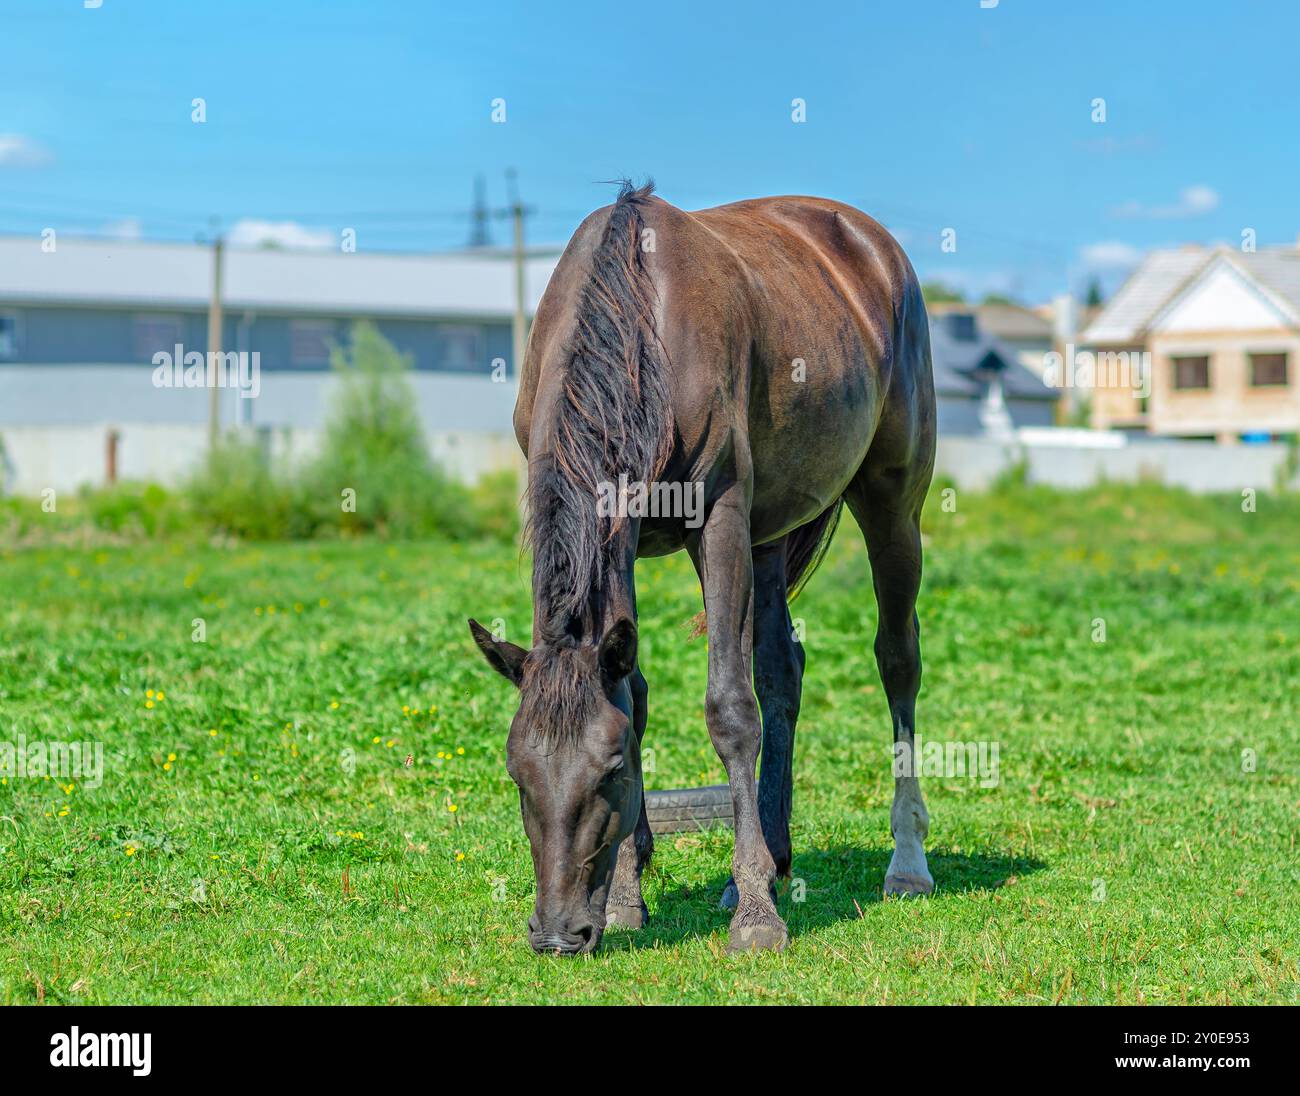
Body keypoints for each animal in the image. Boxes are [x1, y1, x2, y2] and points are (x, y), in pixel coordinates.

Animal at [469, 181, 935, 955]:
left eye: (611, 769)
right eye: (517, 772)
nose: (559, 933)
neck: (642, 318)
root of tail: (877, 248)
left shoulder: (718, 515)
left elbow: (730, 709)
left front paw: (758, 921)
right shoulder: (622, 535)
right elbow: (637, 693)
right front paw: (630, 897)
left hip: (891, 503)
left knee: (898, 660)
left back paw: (905, 860)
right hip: (770, 533)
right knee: (783, 669)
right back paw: (771, 862)